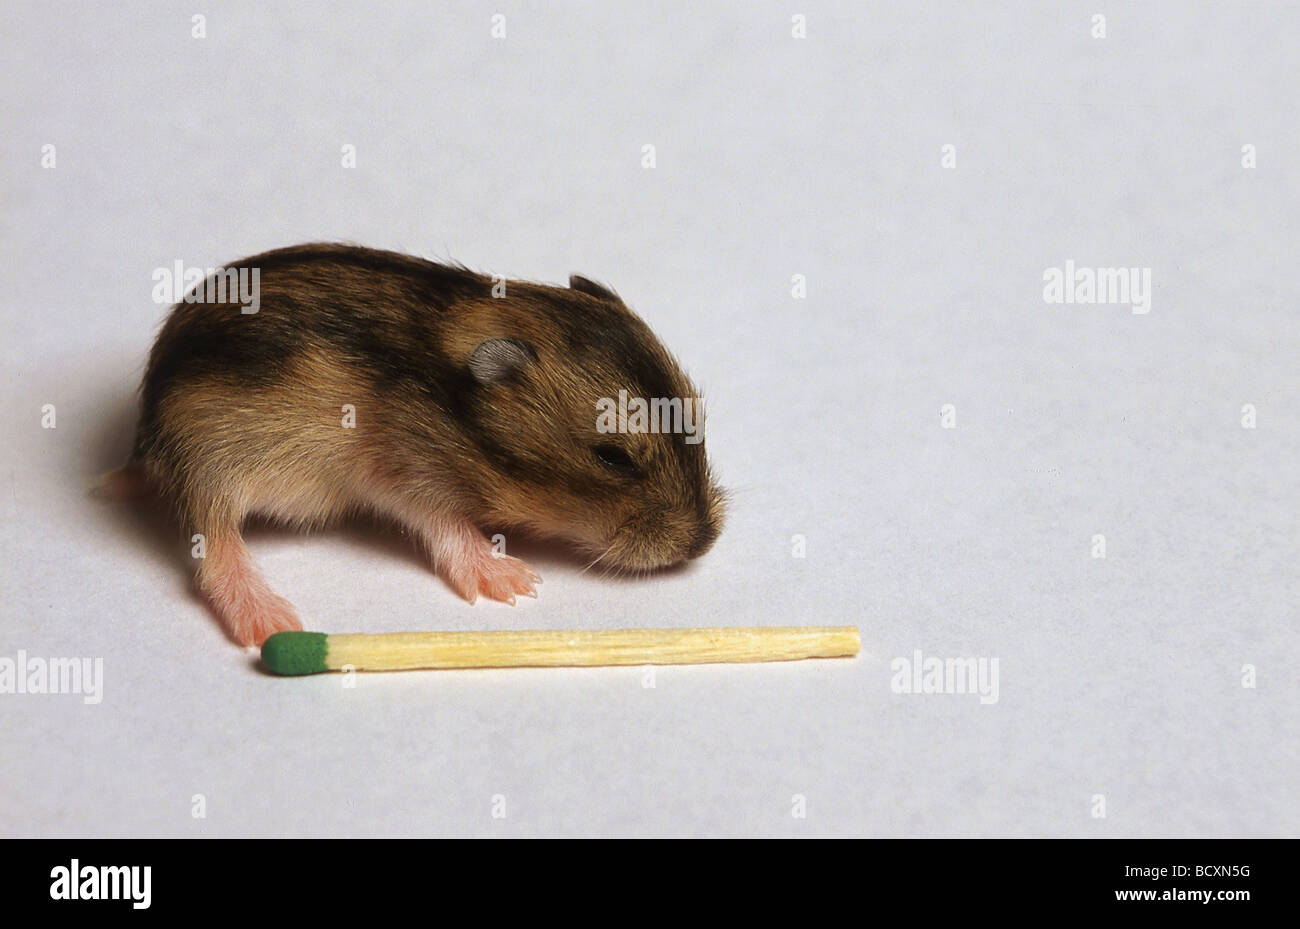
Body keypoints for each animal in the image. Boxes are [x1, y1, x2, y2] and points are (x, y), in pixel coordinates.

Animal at [108, 243, 725, 646]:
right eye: (612, 457)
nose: (702, 546)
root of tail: (143, 439)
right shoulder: (405, 476)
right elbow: (447, 523)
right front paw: (518, 585)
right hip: (206, 466)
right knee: (215, 551)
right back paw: (273, 623)